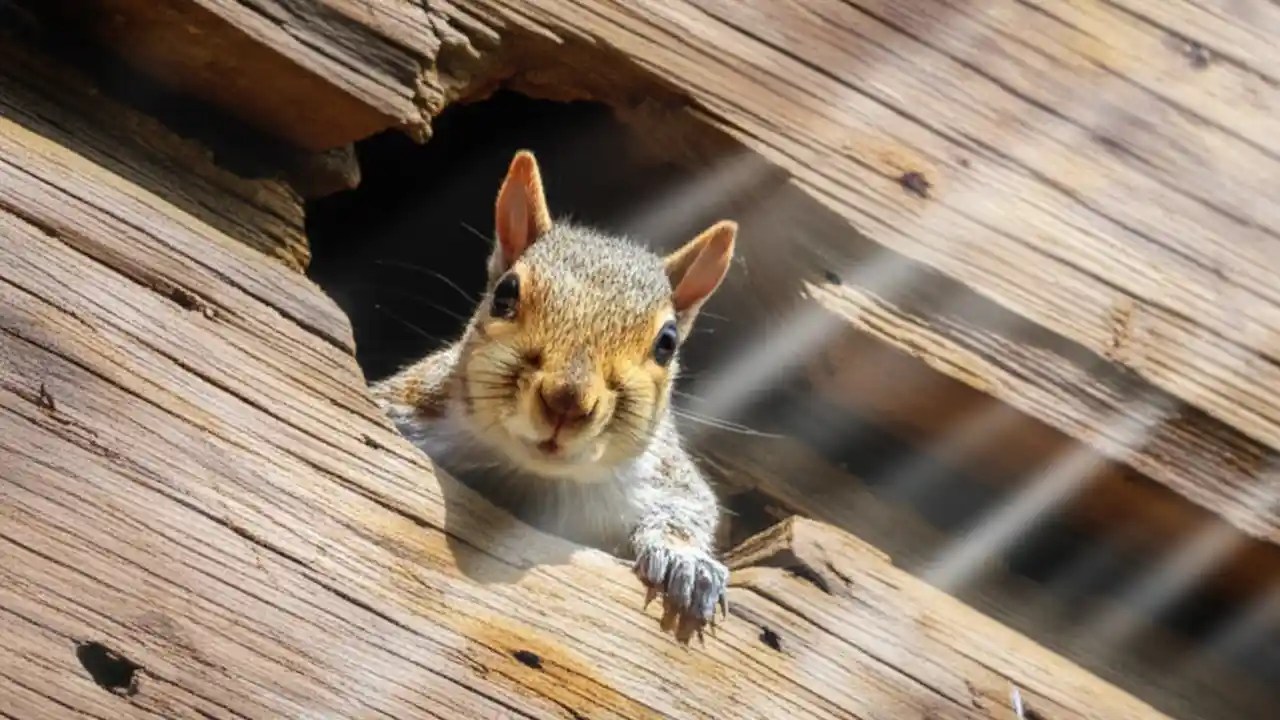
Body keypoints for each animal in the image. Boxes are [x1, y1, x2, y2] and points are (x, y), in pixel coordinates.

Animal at [369, 150, 737, 643]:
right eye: (504, 293)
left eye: (667, 342)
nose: (568, 401)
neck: (536, 480)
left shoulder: (665, 474)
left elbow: (692, 506)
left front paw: (688, 564)